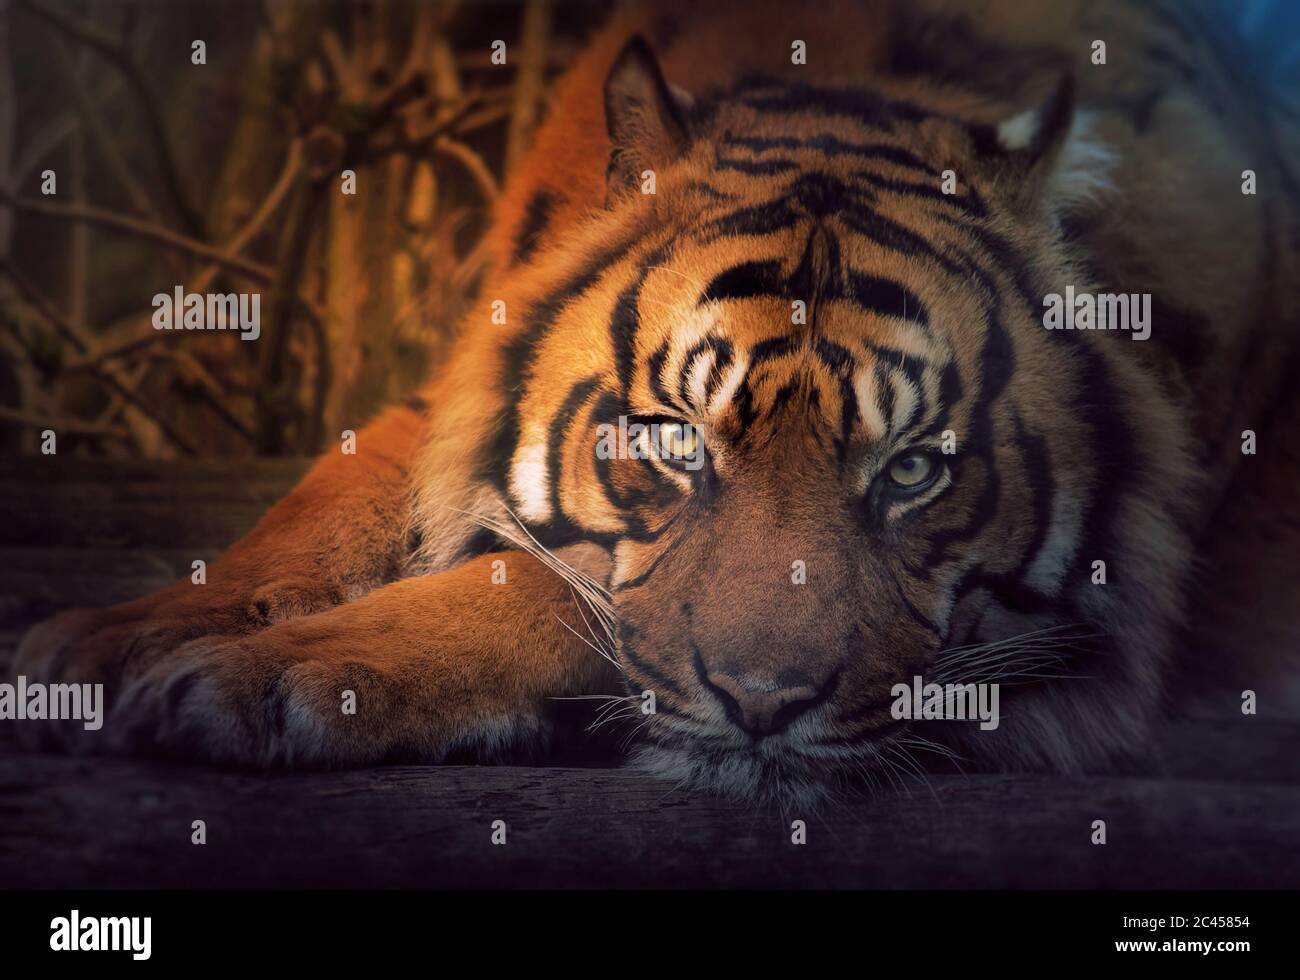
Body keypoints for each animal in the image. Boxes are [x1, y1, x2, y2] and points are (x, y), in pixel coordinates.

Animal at [14, 0, 1300, 807]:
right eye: (672, 439)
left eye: (912, 469)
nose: (765, 706)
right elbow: (332, 495)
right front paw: (120, 637)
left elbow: (542, 584)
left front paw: (265, 672)